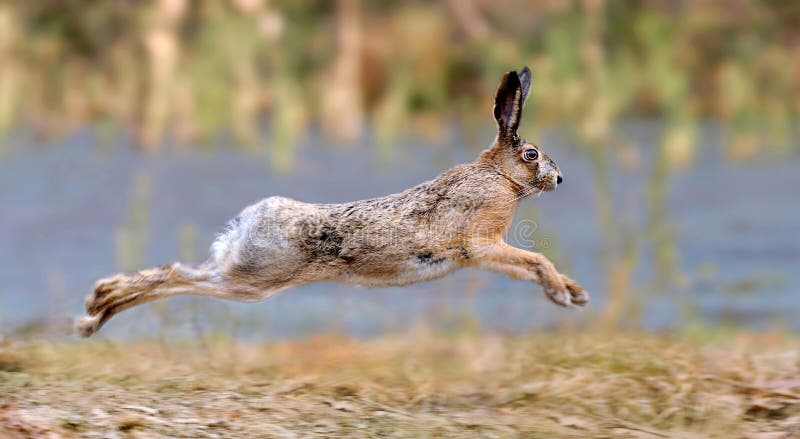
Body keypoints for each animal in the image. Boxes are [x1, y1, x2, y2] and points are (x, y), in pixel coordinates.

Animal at [76, 66, 589, 337]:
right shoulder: (481, 245)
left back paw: (98, 307)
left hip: (246, 274)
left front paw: (576, 293)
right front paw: (563, 295)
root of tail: (248, 220)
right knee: (180, 277)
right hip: (253, 280)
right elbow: (536, 260)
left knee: (180, 273)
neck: (497, 176)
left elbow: (530, 266)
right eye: (531, 154)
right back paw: (95, 312)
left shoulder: (484, 254)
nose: (561, 178)